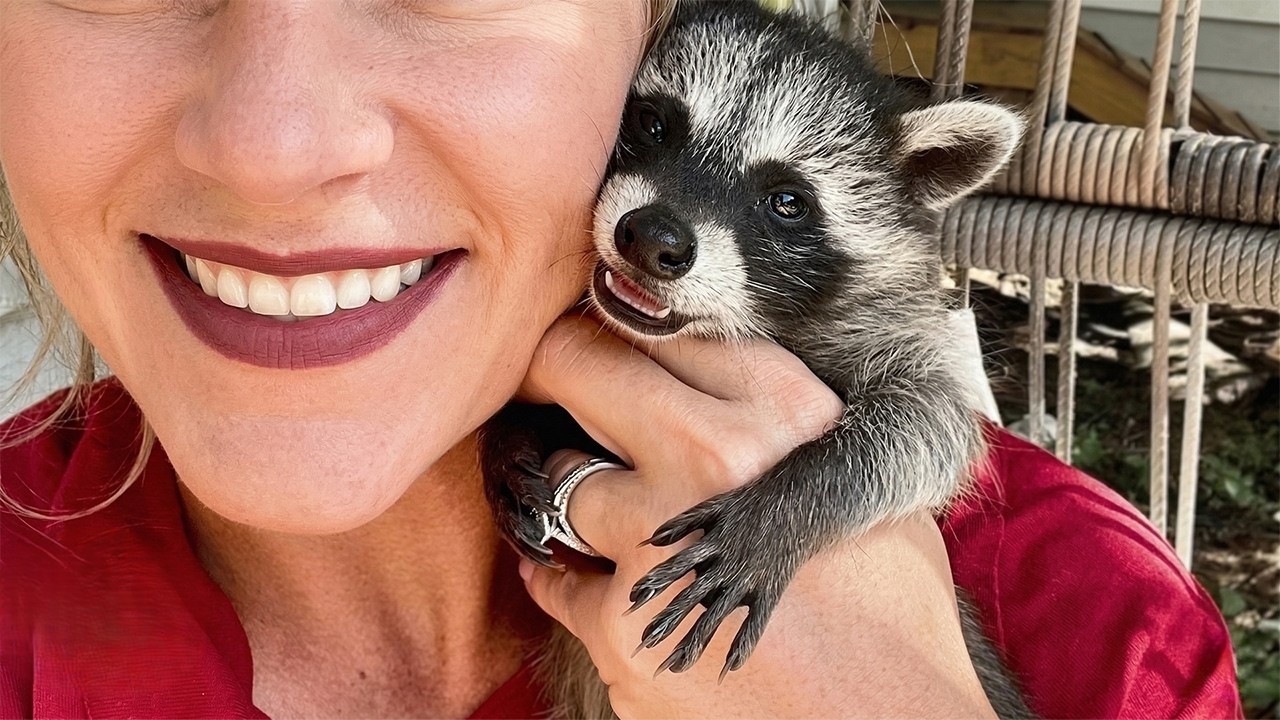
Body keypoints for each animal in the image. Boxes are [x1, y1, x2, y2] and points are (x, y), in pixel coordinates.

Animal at [481, 1, 1031, 716]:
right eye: (652, 123)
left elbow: (929, 428)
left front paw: (790, 504)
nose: (652, 238)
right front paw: (508, 436)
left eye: (788, 201)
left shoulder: (898, 337)